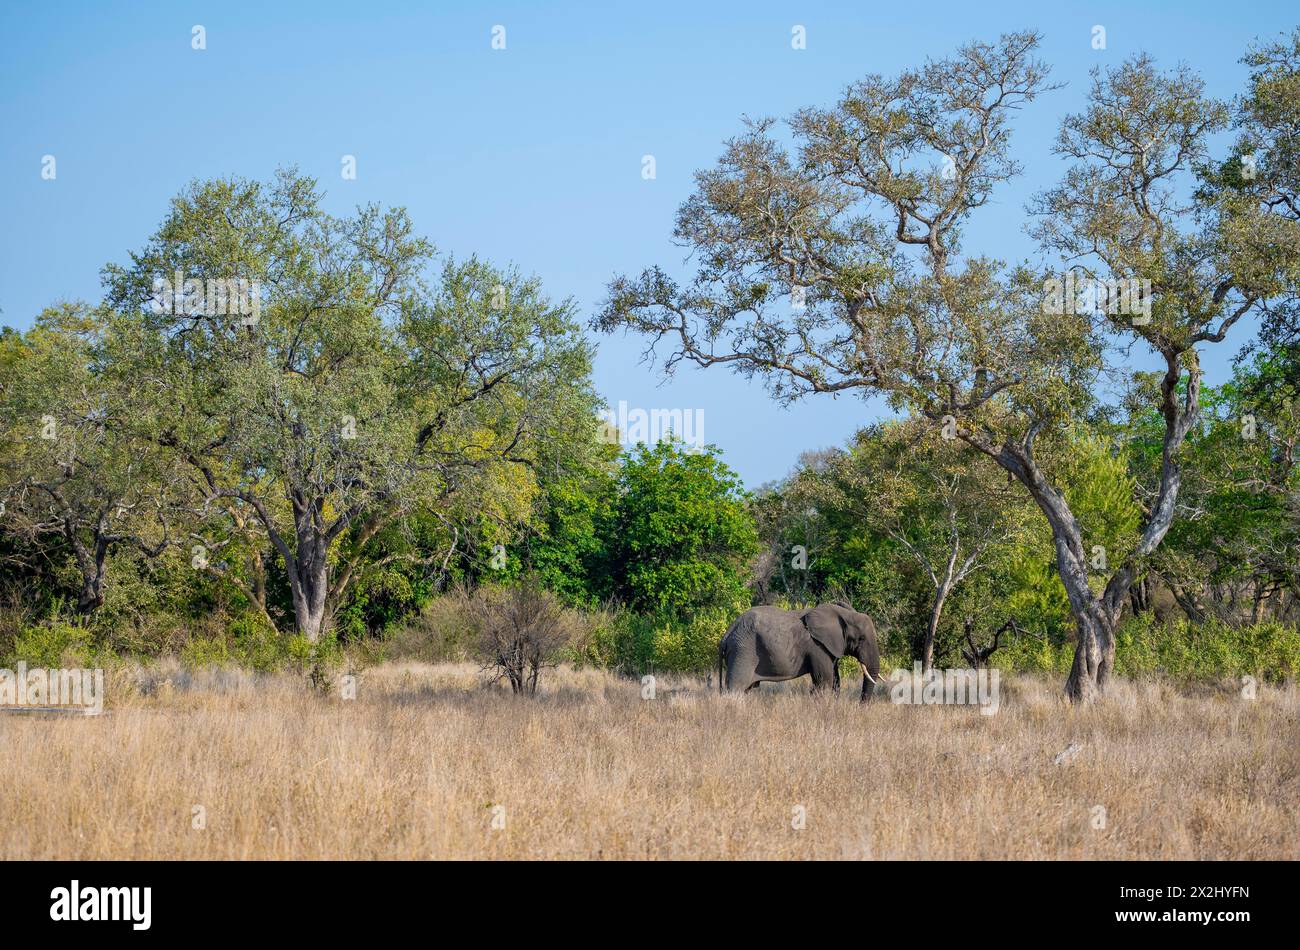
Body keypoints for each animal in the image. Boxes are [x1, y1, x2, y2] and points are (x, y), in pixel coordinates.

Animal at [717, 601, 884, 701]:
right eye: (861, 638)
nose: (860, 706)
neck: (843, 613)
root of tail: (726, 635)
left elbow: (835, 681)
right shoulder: (817, 647)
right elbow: (824, 681)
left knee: (747, 689)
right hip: (742, 651)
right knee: (736, 688)